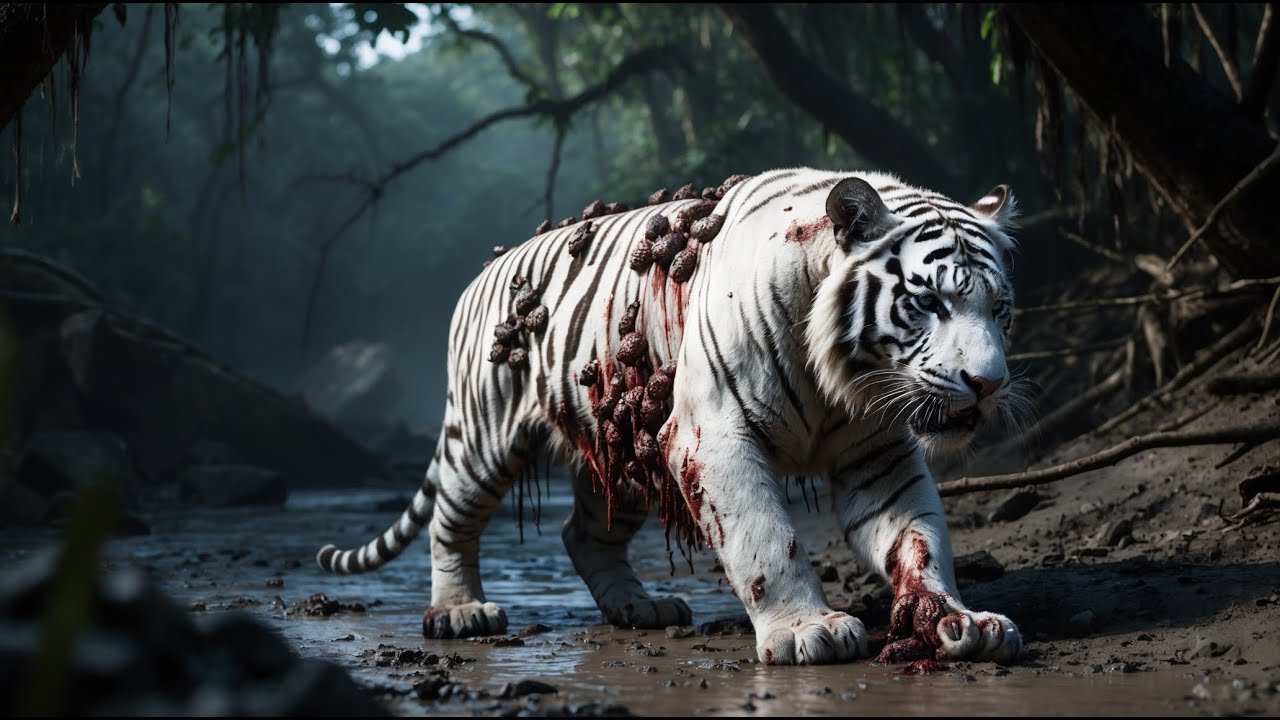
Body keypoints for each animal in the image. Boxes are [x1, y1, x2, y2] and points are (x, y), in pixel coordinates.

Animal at [316, 168, 1026, 666]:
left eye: (1000, 309)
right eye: (929, 302)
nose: (988, 384)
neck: (841, 379)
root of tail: (480, 273)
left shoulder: (877, 454)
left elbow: (917, 539)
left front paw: (958, 620)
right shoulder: (714, 435)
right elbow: (766, 539)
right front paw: (806, 630)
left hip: (627, 451)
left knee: (583, 534)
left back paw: (639, 606)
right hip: (485, 439)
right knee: (451, 523)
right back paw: (461, 612)